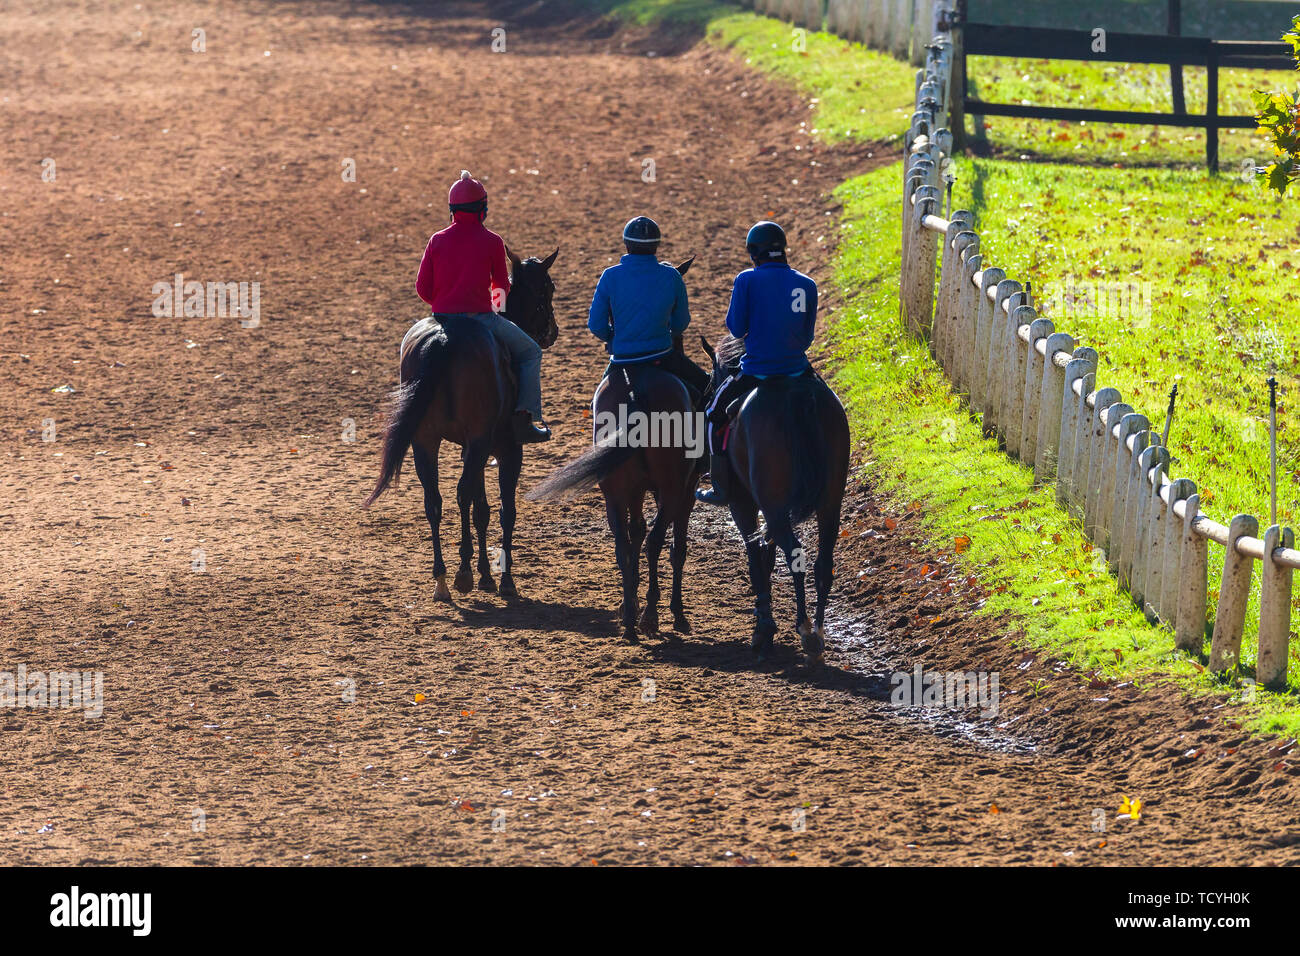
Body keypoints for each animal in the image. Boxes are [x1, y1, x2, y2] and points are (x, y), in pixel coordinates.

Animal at [364, 248, 559, 601]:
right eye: (548, 288)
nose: (552, 332)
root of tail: (444, 339)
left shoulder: (472, 449)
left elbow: (481, 509)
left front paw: (485, 575)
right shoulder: (507, 450)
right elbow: (504, 510)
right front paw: (503, 579)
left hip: (425, 441)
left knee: (434, 500)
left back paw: (442, 579)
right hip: (478, 441)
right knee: (460, 494)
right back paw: (461, 573)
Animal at [527, 258, 702, 643]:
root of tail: (637, 390)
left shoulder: (636, 490)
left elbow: (635, 534)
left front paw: (628, 604)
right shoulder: (686, 489)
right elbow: (676, 546)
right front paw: (676, 613)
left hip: (616, 490)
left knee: (624, 543)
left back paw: (631, 621)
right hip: (670, 487)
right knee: (656, 540)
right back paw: (649, 617)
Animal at [701, 333, 850, 661]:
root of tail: (799, 396)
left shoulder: (742, 504)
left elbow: (756, 558)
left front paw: (763, 629)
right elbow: (765, 555)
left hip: (773, 506)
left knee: (795, 554)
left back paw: (805, 630)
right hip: (830, 503)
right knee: (823, 563)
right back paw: (818, 632)